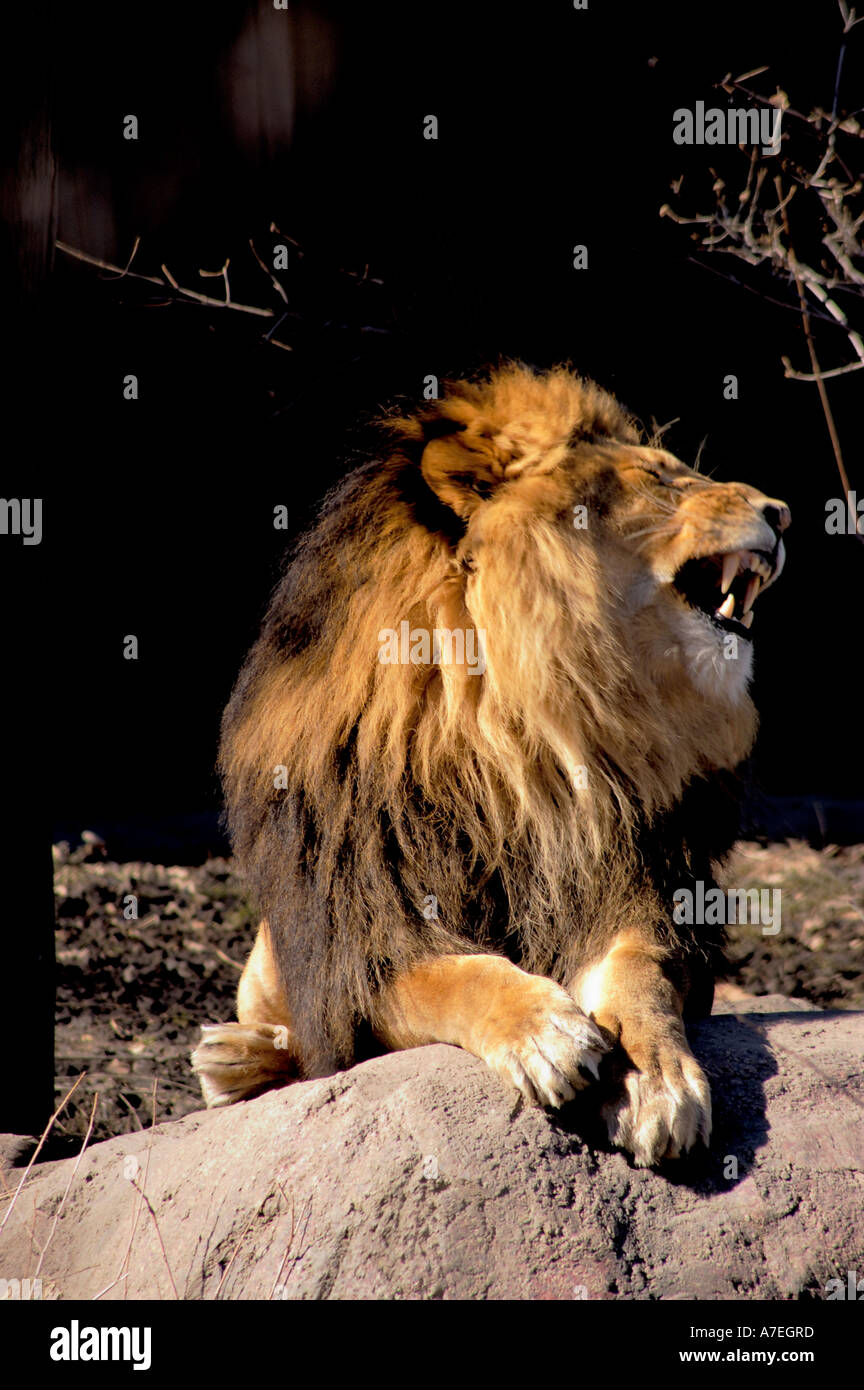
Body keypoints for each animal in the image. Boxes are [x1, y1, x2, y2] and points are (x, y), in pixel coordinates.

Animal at [192, 363, 789, 1167]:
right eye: (657, 478)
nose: (782, 512)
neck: (518, 721)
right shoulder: (367, 934)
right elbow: (449, 979)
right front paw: (544, 1032)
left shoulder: (630, 884)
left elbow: (639, 976)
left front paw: (655, 1078)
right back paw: (233, 1057)